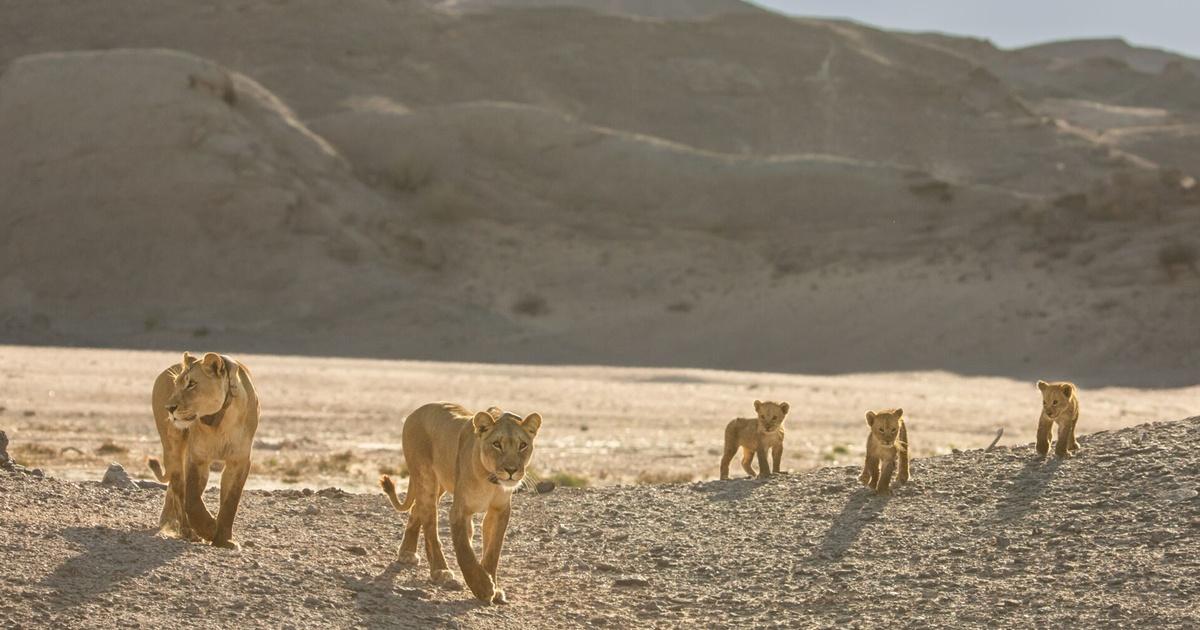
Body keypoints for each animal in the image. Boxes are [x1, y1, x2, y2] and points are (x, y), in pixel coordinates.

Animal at [146, 351, 259, 549]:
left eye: (192, 384)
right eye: (177, 384)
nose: (169, 408)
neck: (220, 421)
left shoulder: (239, 461)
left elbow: (231, 501)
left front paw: (224, 540)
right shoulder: (197, 457)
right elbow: (191, 500)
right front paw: (209, 529)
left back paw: (168, 521)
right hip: (173, 447)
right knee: (178, 488)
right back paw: (187, 530)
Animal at [379, 402, 542, 604]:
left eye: (523, 445)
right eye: (497, 444)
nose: (511, 470)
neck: (490, 481)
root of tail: (416, 411)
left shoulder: (499, 510)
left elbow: (493, 551)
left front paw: (494, 588)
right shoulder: (460, 510)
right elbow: (465, 551)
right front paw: (482, 587)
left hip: (440, 485)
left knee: (417, 509)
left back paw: (407, 552)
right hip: (426, 478)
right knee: (429, 524)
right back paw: (440, 570)